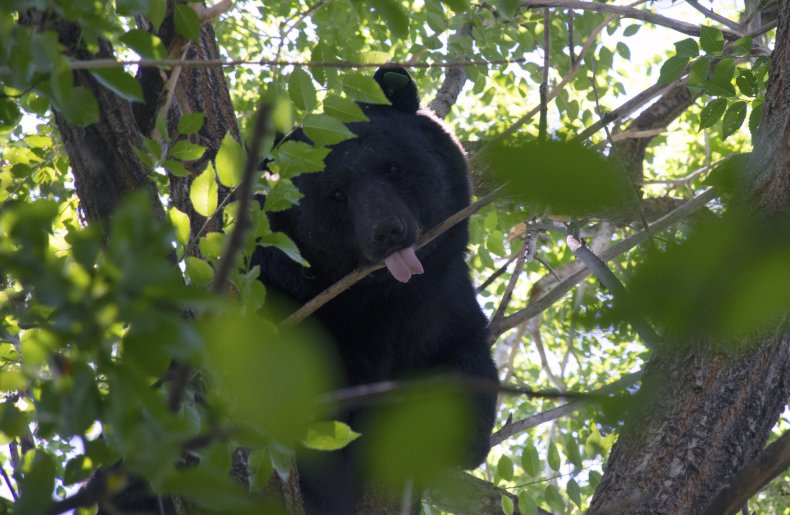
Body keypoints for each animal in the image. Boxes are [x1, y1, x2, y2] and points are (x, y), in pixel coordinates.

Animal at [249, 66, 499, 513]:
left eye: (392, 168)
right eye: (336, 194)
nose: (387, 232)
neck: (383, 299)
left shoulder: (445, 295)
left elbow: (462, 350)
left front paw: (463, 434)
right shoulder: (291, 305)